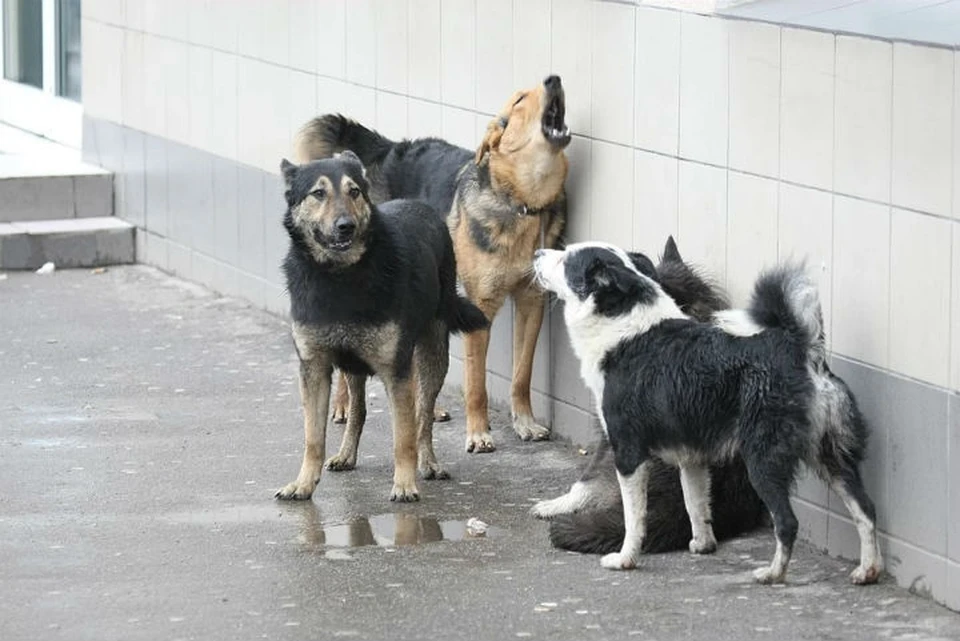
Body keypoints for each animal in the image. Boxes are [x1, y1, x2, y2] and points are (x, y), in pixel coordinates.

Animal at [276, 152, 488, 502]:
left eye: (354, 192)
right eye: (318, 193)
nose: (345, 227)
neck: (340, 277)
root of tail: (419, 204)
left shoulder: (396, 371)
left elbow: (403, 436)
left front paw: (404, 484)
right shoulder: (314, 369)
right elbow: (313, 437)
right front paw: (303, 483)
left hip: (432, 355)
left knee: (423, 416)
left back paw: (428, 463)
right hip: (353, 365)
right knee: (358, 410)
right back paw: (346, 454)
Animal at [294, 75, 568, 452]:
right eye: (519, 100)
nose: (554, 79)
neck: (521, 203)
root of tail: (389, 148)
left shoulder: (532, 302)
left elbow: (521, 374)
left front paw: (524, 422)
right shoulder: (481, 306)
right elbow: (476, 382)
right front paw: (478, 432)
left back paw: (427, 407)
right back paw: (343, 405)